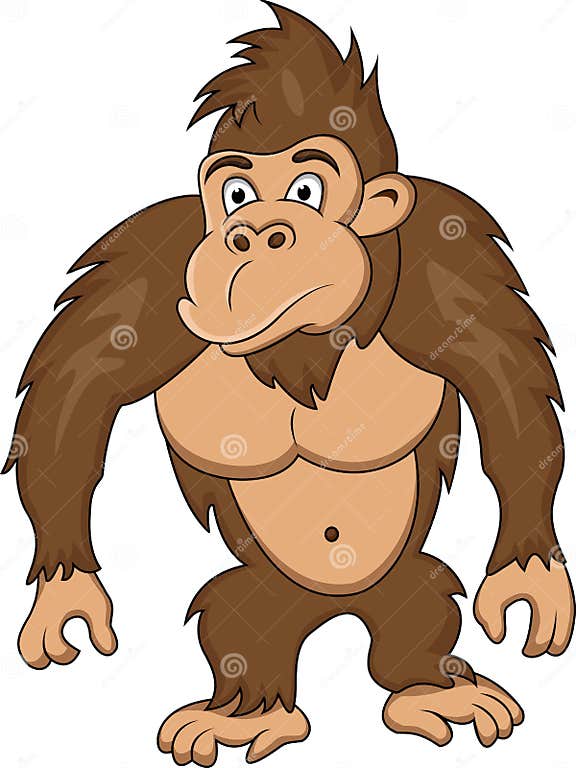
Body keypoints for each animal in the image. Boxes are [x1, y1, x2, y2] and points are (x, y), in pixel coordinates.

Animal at [3, 3, 574, 765]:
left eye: (307, 191)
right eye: (237, 193)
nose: (253, 232)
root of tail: (335, 609)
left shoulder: (444, 252)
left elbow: (501, 372)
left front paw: (530, 575)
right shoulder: (156, 263)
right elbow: (83, 380)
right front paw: (66, 592)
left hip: (395, 578)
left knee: (419, 606)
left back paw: (430, 690)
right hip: (272, 591)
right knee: (242, 624)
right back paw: (247, 714)